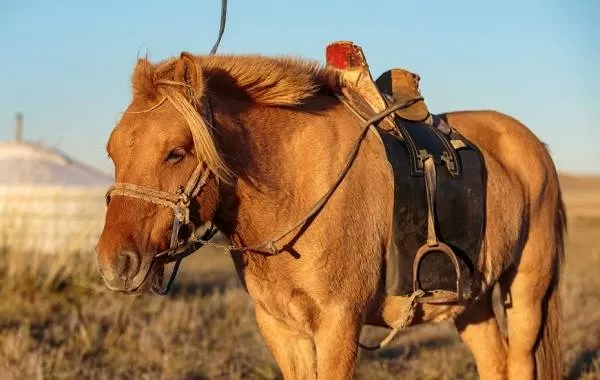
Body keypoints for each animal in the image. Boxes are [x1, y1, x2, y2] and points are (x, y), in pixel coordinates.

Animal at [96, 51, 564, 380]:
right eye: (113, 151)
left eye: (176, 151)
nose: (115, 264)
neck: (295, 184)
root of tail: (535, 146)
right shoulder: (281, 328)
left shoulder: (339, 324)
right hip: (470, 300)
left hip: (527, 292)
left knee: (519, 362)